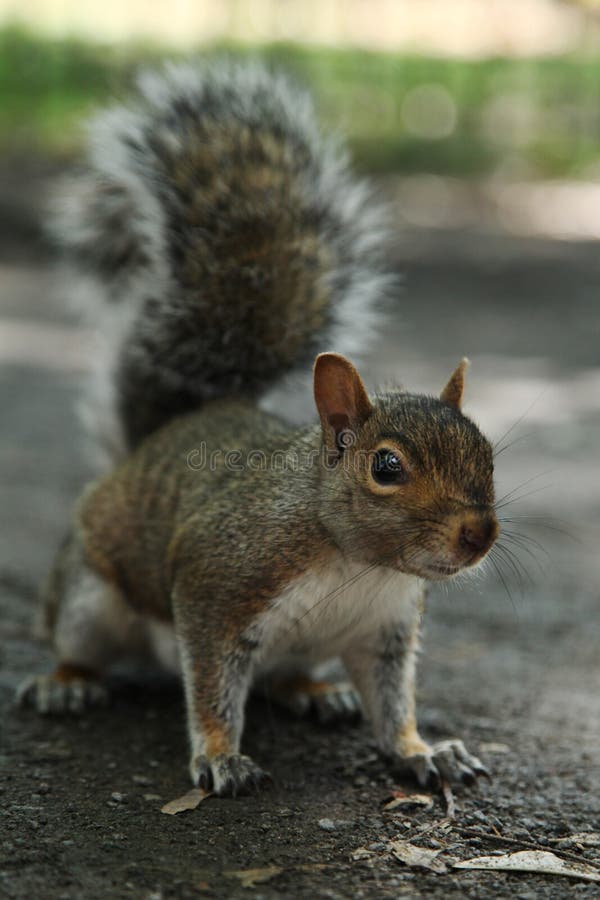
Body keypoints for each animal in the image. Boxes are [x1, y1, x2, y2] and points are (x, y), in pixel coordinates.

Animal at [18, 60, 499, 796]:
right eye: (386, 467)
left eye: (489, 454)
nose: (480, 534)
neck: (358, 564)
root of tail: (162, 435)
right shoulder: (216, 583)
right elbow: (213, 687)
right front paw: (220, 756)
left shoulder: (385, 630)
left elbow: (394, 702)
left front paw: (422, 750)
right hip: (87, 597)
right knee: (77, 641)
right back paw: (68, 681)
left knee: (288, 676)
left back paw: (317, 692)